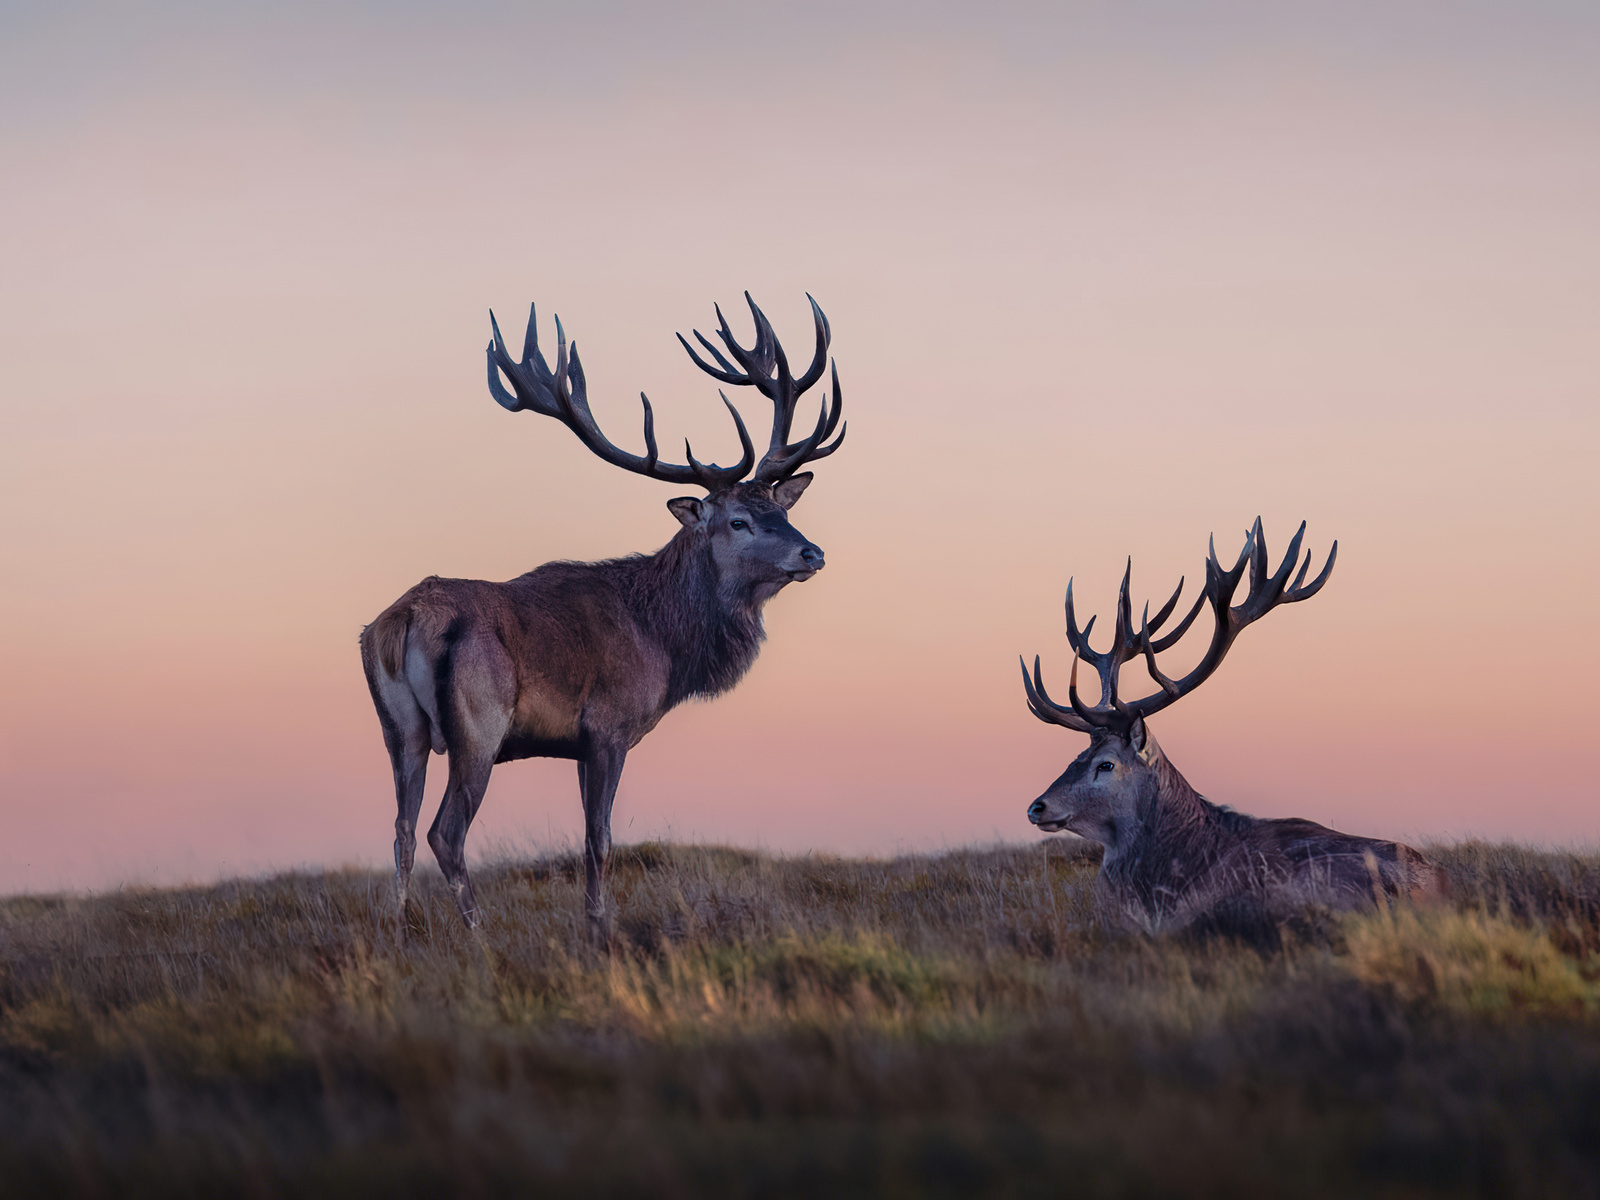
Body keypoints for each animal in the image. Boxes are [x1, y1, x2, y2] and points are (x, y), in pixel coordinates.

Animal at [360, 294, 843, 930]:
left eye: (780, 510)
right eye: (737, 520)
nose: (812, 552)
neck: (663, 644)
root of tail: (401, 620)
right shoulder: (607, 727)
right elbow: (600, 839)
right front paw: (598, 927)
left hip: (399, 731)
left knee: (401, 830)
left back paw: (398, 930)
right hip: (479, 725)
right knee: (445, 832)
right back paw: (477, 933)